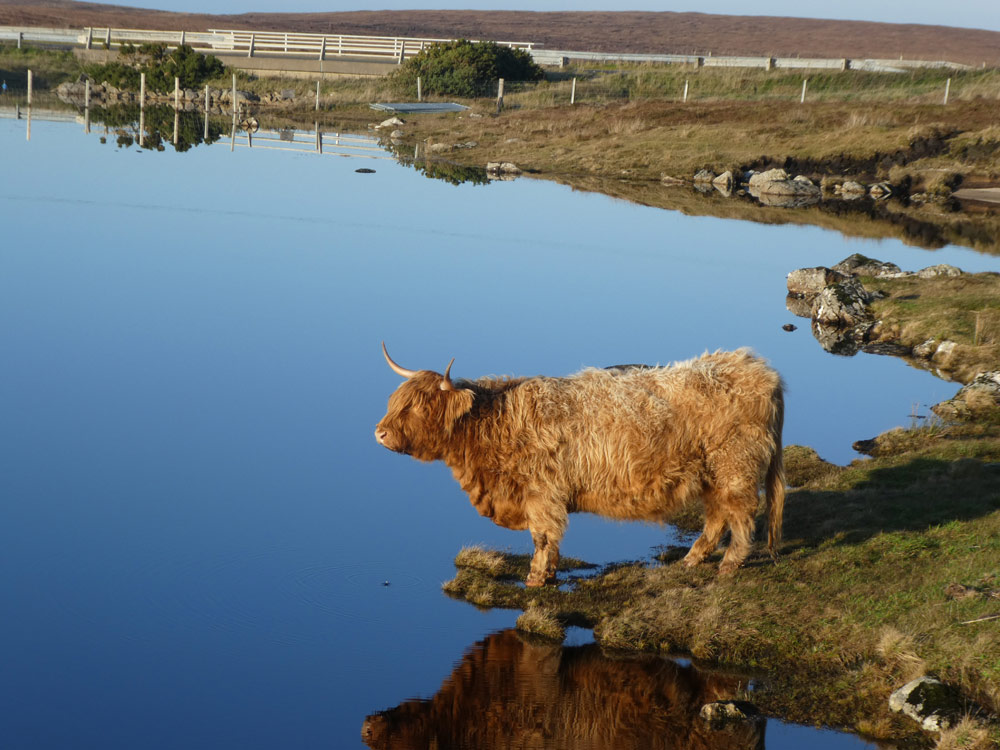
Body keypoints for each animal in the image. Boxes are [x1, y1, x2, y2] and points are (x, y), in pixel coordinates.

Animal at [375, 343, 785, 585]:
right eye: (396, 401)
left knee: (741, 516)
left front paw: (536, 578)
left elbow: (543, 537)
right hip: (712, 473)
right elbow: (549, 540)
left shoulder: (542, 494)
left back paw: (728, 565)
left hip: (734, 467)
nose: (379, 433)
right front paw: (548, 572)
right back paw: (692, 559)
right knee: (717, 516)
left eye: (418, 407)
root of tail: (754, 365)